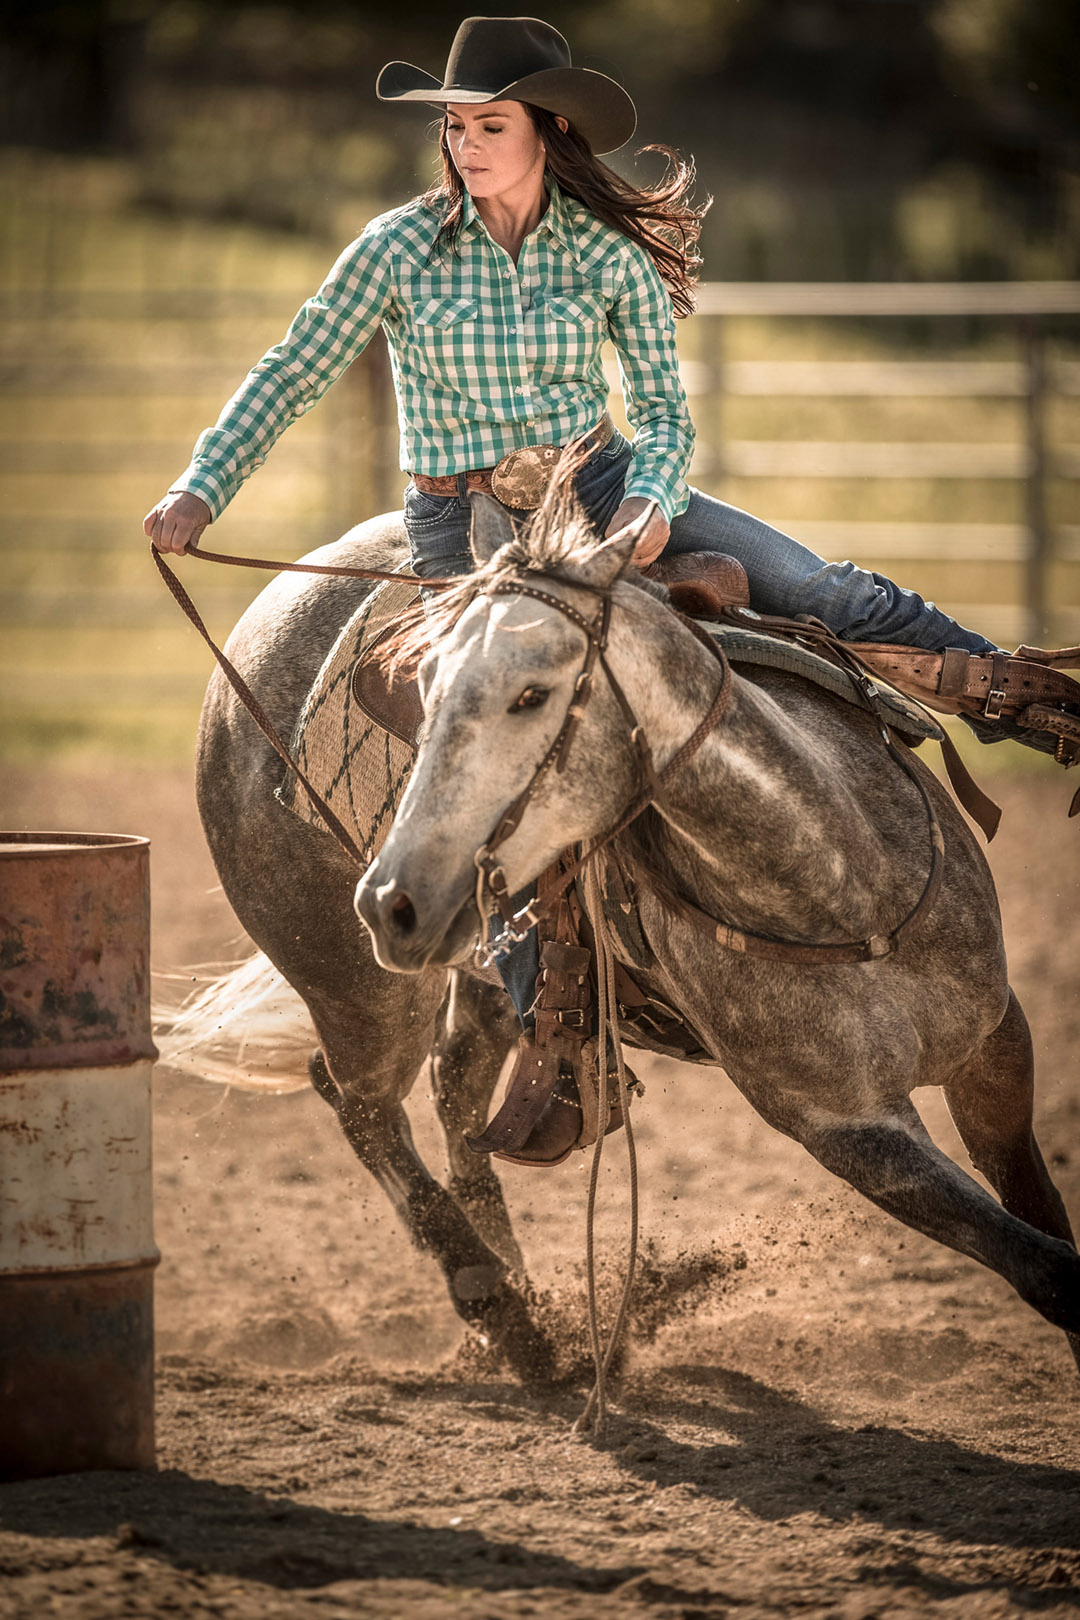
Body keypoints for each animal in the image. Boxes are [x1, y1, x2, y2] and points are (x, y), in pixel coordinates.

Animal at [194, 498, 1080, 1386]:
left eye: (533, 694)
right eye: (423, 688)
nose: (389, 902)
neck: (844, 892)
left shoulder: (995, 1046)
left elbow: (1044, 1221)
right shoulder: (850, 1129)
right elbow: (1043, 1266)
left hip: (475, 979)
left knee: (453, 1095)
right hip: (358, 991)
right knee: (364, 1107)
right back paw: (505, 1313)